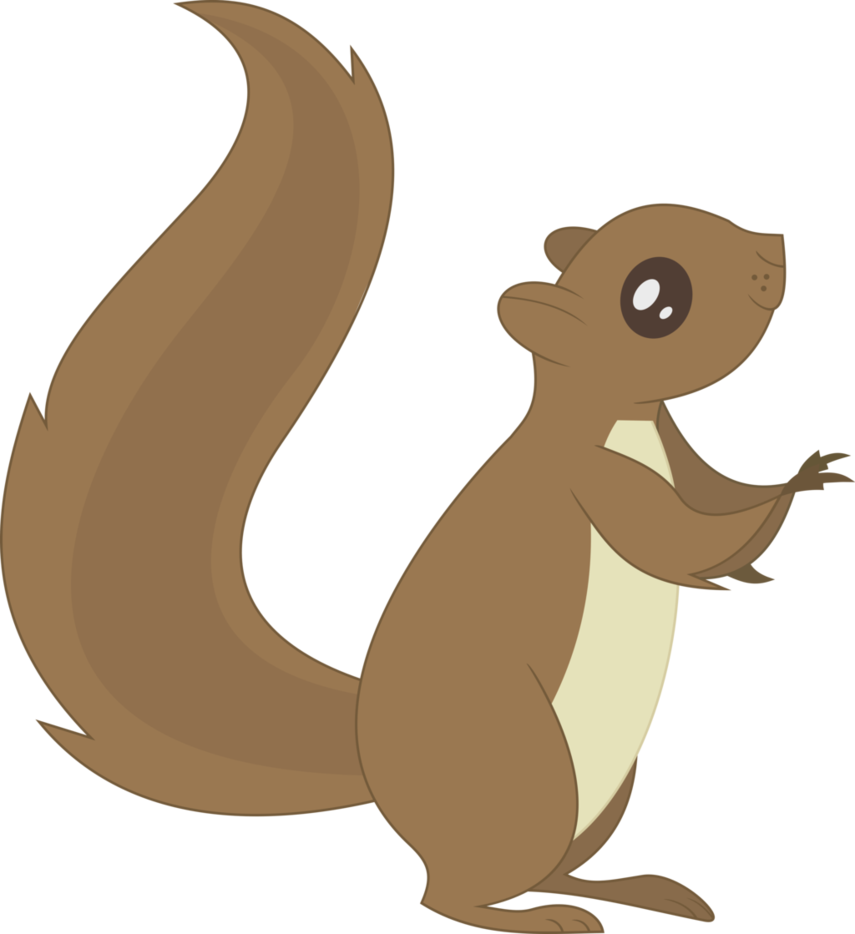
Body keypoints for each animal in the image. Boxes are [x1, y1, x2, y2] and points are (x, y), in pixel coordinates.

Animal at [3, 4, 853, 932]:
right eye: (653, 299)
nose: (775, 248)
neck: (614, 414)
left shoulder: (677, 448)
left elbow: (710, 500)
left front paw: (764, 529)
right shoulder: (594, 481)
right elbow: (671, 537)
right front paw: (794, 485)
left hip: (601, 795)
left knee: (552, 866)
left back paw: (633, 889)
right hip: (520, 768)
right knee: (447, 896)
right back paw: (537, 917)